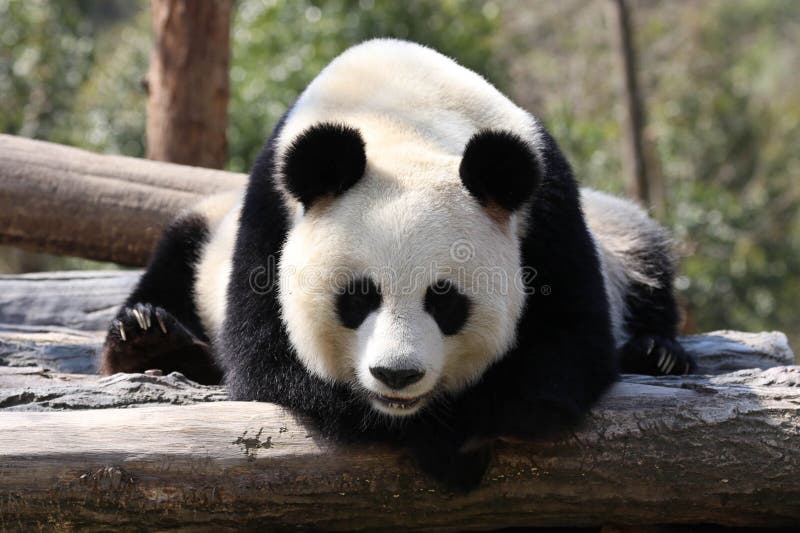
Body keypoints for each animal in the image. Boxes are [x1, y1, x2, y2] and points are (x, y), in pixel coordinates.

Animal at [100, 39, 694, 488]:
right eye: (357, 298)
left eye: (445, 301)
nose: (397, 375)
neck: (401, 121)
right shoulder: (269, 214)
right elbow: (271, 359)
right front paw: (442, 446)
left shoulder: (549, 207)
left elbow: (564, 352)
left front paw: (454, 441)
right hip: (208, 235)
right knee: (175, 259)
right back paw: (149, 337)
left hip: (615, 232)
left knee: (643, 258)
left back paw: (656, 352)